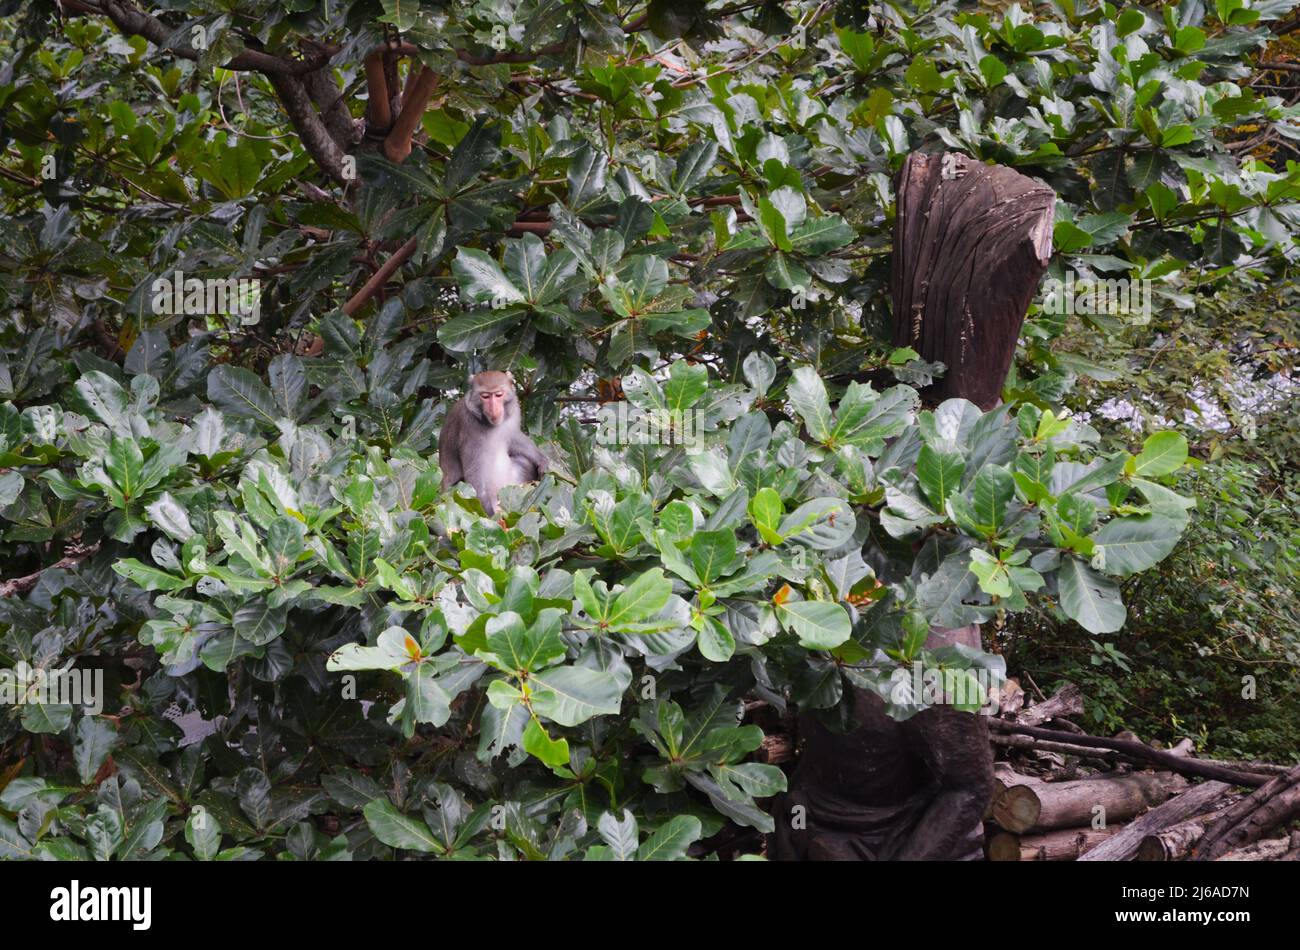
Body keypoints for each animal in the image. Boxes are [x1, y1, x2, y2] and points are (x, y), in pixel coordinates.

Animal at [437, 370, 548, 515]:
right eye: (485, 396)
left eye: (498, 395)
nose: (493, 408)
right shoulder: (470, 428)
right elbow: (474, 477)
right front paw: (490, 515)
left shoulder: (513, 412)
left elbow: (514, 438)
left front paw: (542, 460)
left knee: (524, 461)